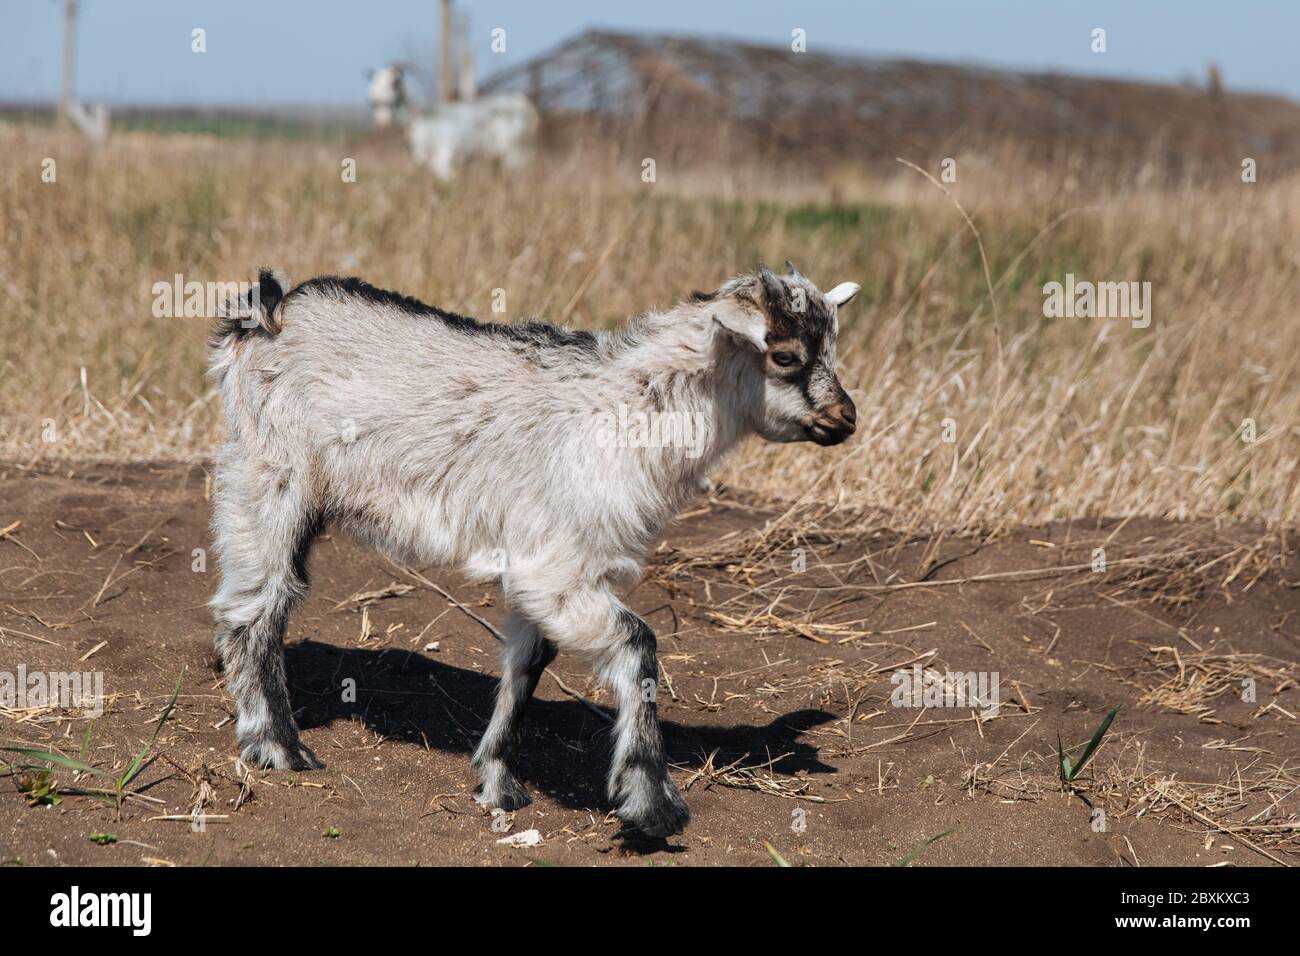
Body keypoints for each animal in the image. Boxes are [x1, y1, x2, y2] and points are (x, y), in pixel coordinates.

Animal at [207, 264, 859, 836]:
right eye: (784, 356)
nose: (845, 418)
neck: (632, 410)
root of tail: (266, 313)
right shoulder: (557, 568)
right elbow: (638, 645)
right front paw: (652, 802)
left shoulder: (537, 570)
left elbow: (529, 662)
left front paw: (497, 779)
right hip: (270, 474)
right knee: (254, 607)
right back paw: (277, 746)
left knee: (265, 600)